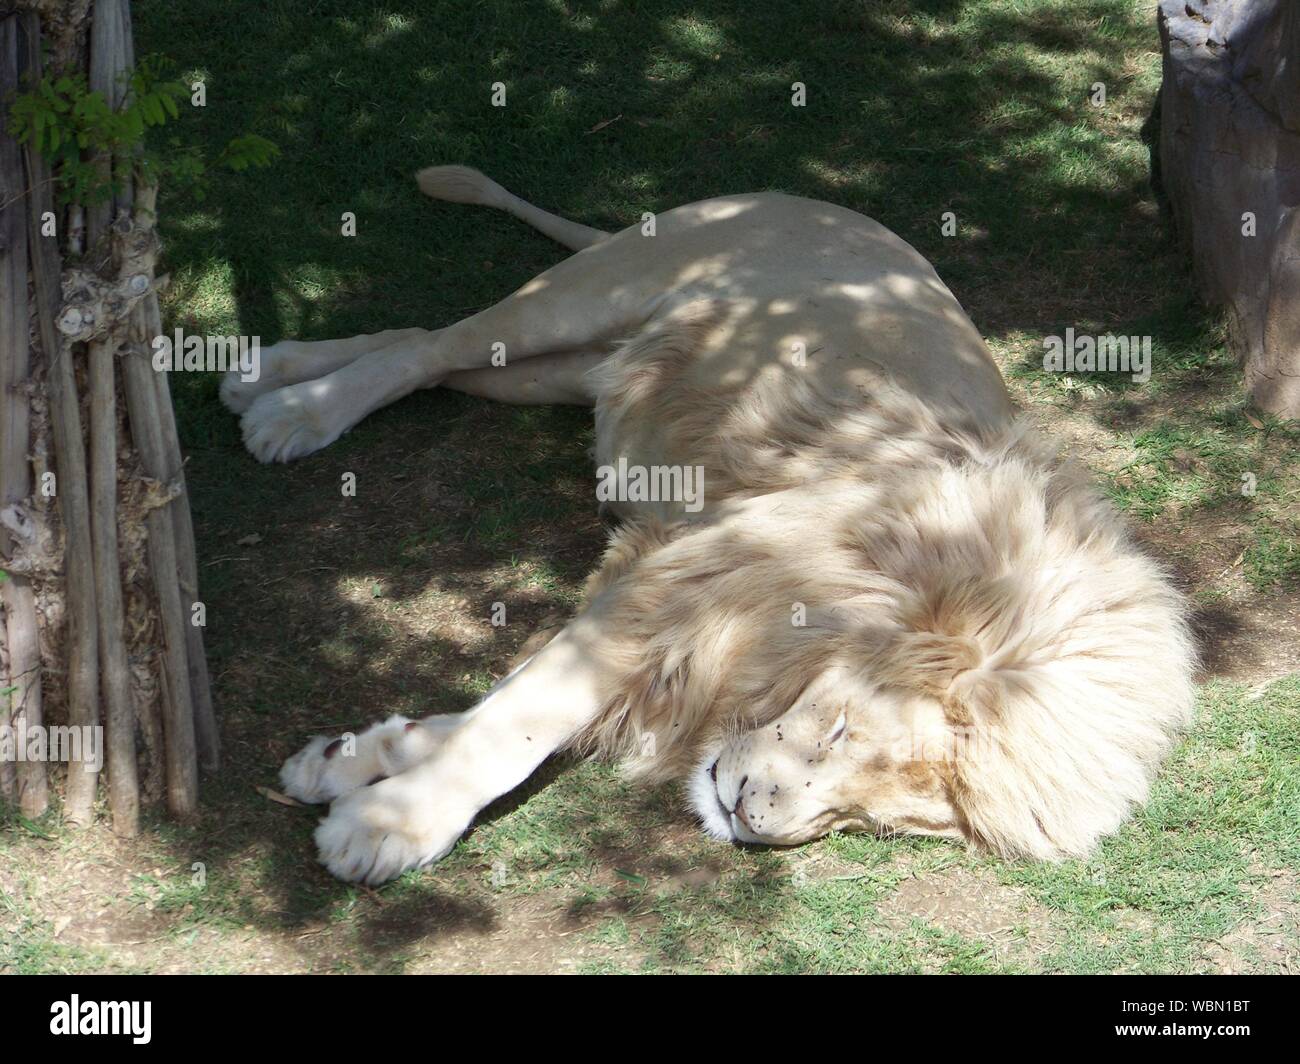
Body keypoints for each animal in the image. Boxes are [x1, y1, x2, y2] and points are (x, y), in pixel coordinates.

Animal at [223, 168, 1198, 884]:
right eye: (841, 732)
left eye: (879, 819)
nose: (748, 821)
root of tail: (816, 198)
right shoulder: (674, 577)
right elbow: (523, 724)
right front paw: (390, 828)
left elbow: (497, 712)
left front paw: (348, 761)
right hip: (585, 297)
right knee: (439, 341)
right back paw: (293, 408)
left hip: (566, 370)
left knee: (425, 349)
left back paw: (266, 376)